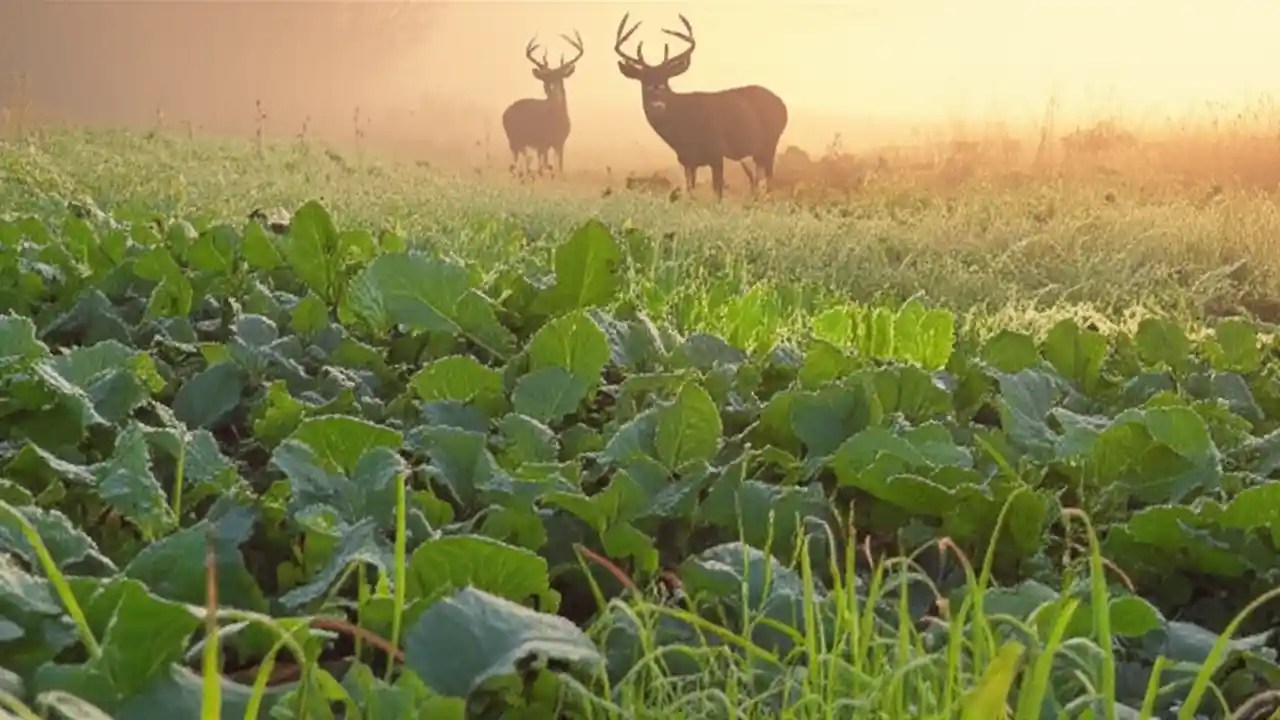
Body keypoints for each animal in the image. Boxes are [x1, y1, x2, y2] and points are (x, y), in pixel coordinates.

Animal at [501, 30, 584, 179]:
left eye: (560, 77)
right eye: (545, 78)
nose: (549, 88)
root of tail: (505, 112)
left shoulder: (560, 142)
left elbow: (559, 167)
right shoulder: (542, 142)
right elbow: (543, 167)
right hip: (513, 138)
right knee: (517, 161)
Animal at [613, 13, 788, 200]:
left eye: (666, 80)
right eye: (643, 81)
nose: (657, 105)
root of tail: (782, 105)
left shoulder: (716, 152)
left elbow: (718, 192)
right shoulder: (686, 159)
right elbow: (690, 192)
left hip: (771, 142)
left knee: (769, 180)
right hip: (758, 151)